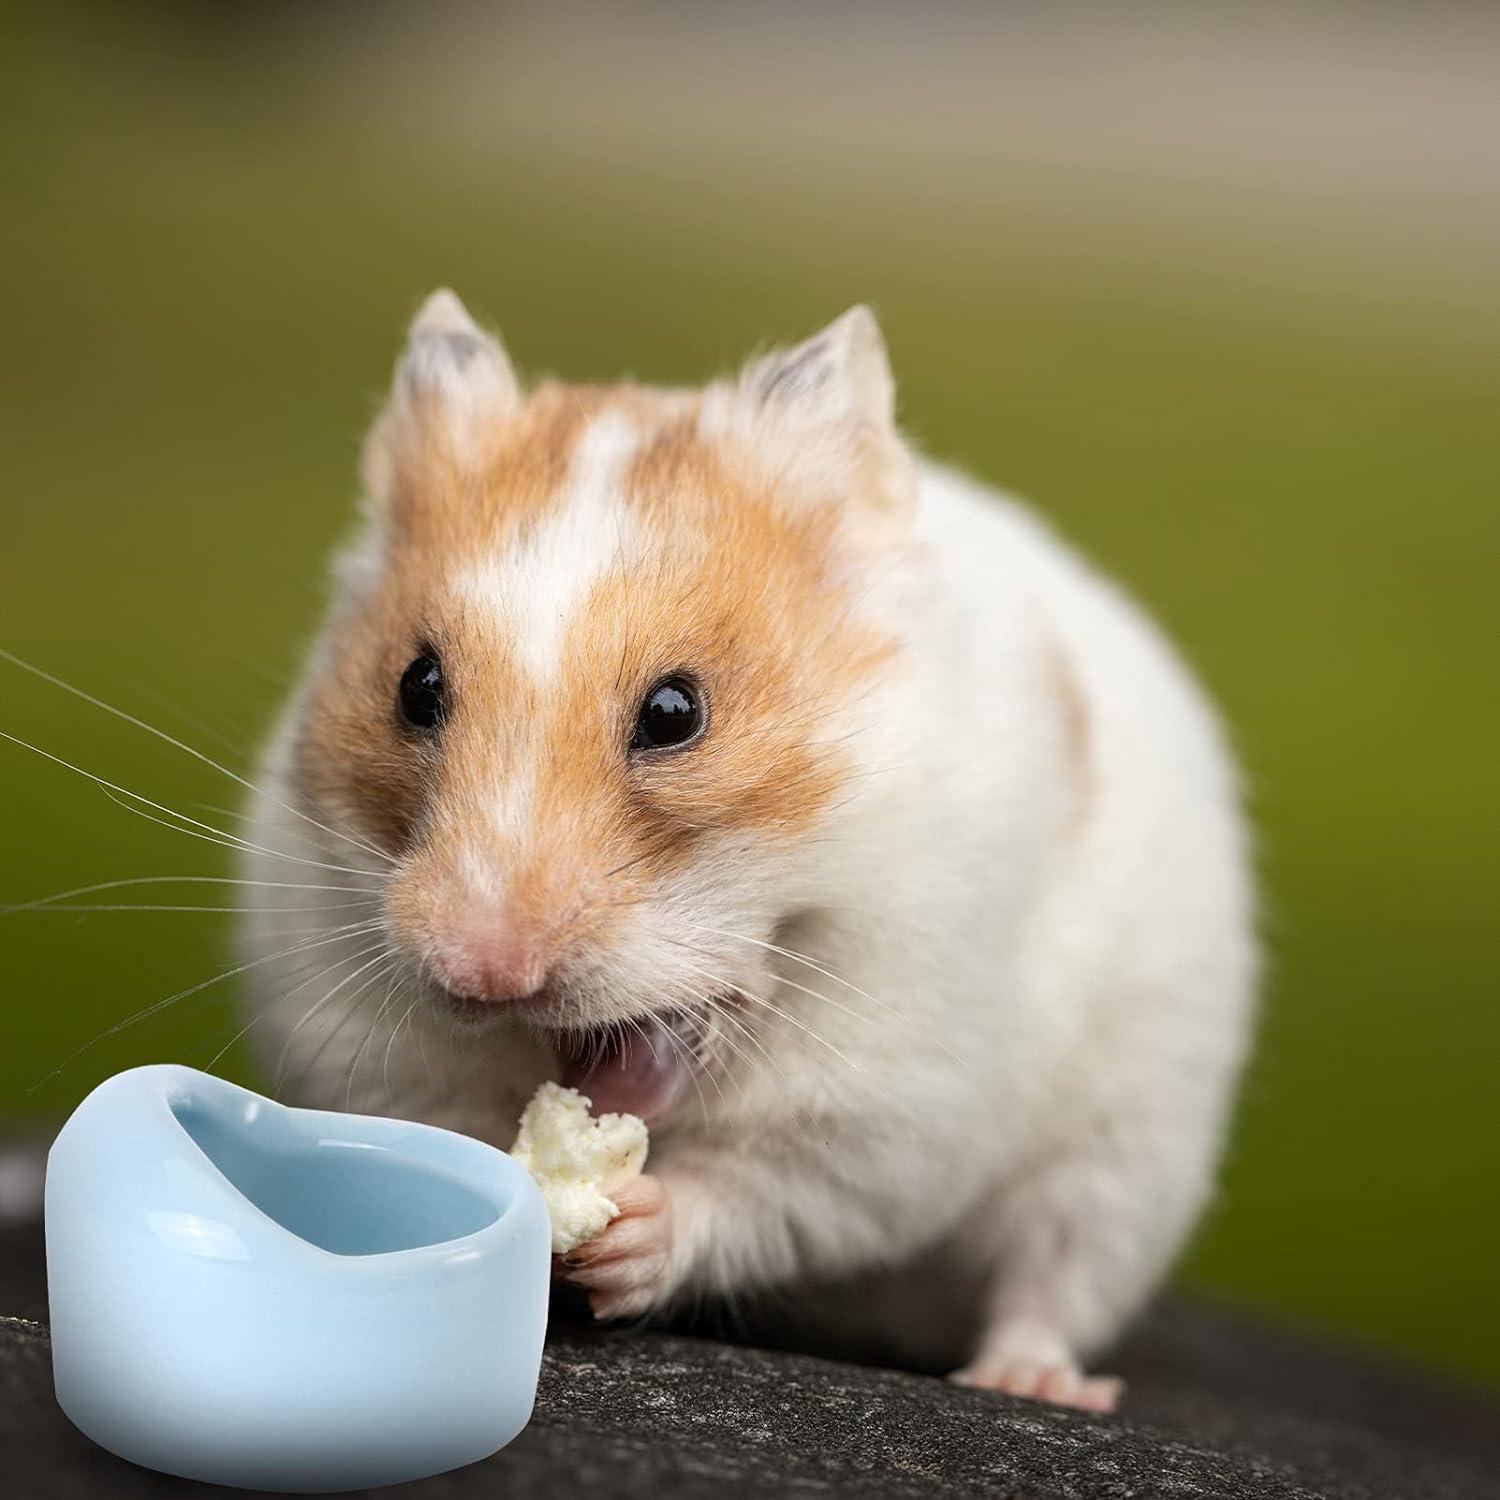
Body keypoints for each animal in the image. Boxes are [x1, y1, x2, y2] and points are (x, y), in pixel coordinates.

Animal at [239, 289, 1255, 1412]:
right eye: (415, 687)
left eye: (676, 712)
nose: (485, 974)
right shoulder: (360, 1032)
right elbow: (440, 1128)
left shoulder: (881, 1106)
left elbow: (755, 1194)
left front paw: (629, 1231)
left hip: (1129, 1148)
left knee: (1053, 1276)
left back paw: (1031, 1382)